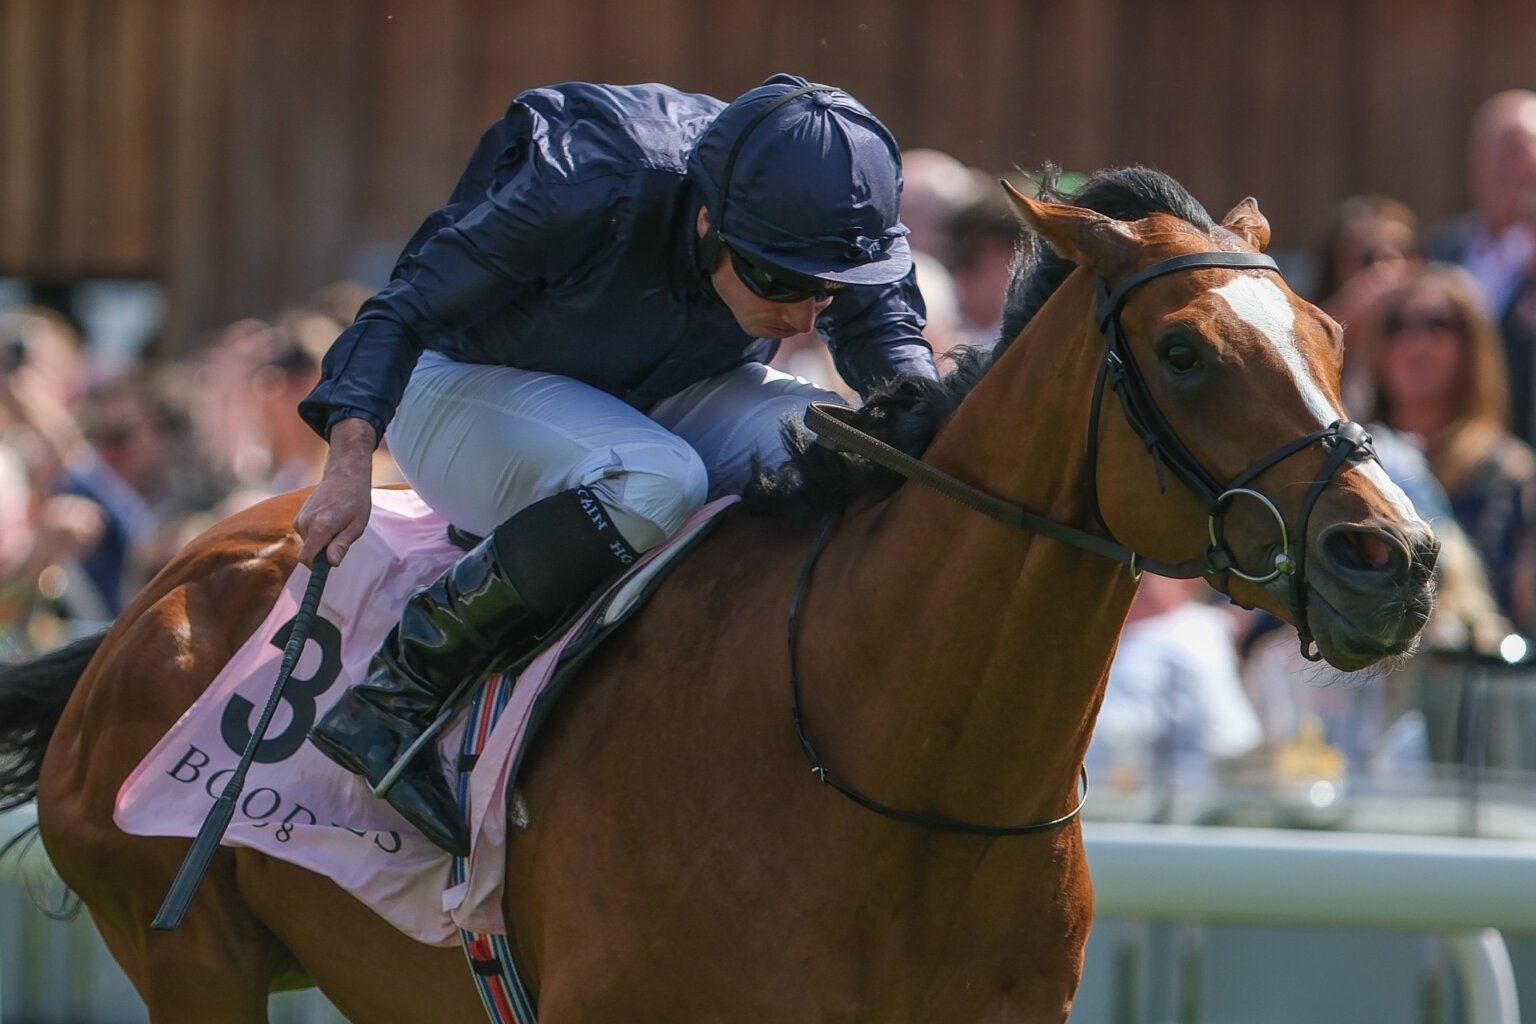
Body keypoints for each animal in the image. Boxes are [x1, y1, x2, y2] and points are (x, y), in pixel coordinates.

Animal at [0, 166, 1437, 1023]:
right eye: (1186, 351)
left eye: (1329, 333)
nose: (1394, 559)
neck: (891, 767)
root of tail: (156, 597)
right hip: (190, 959)